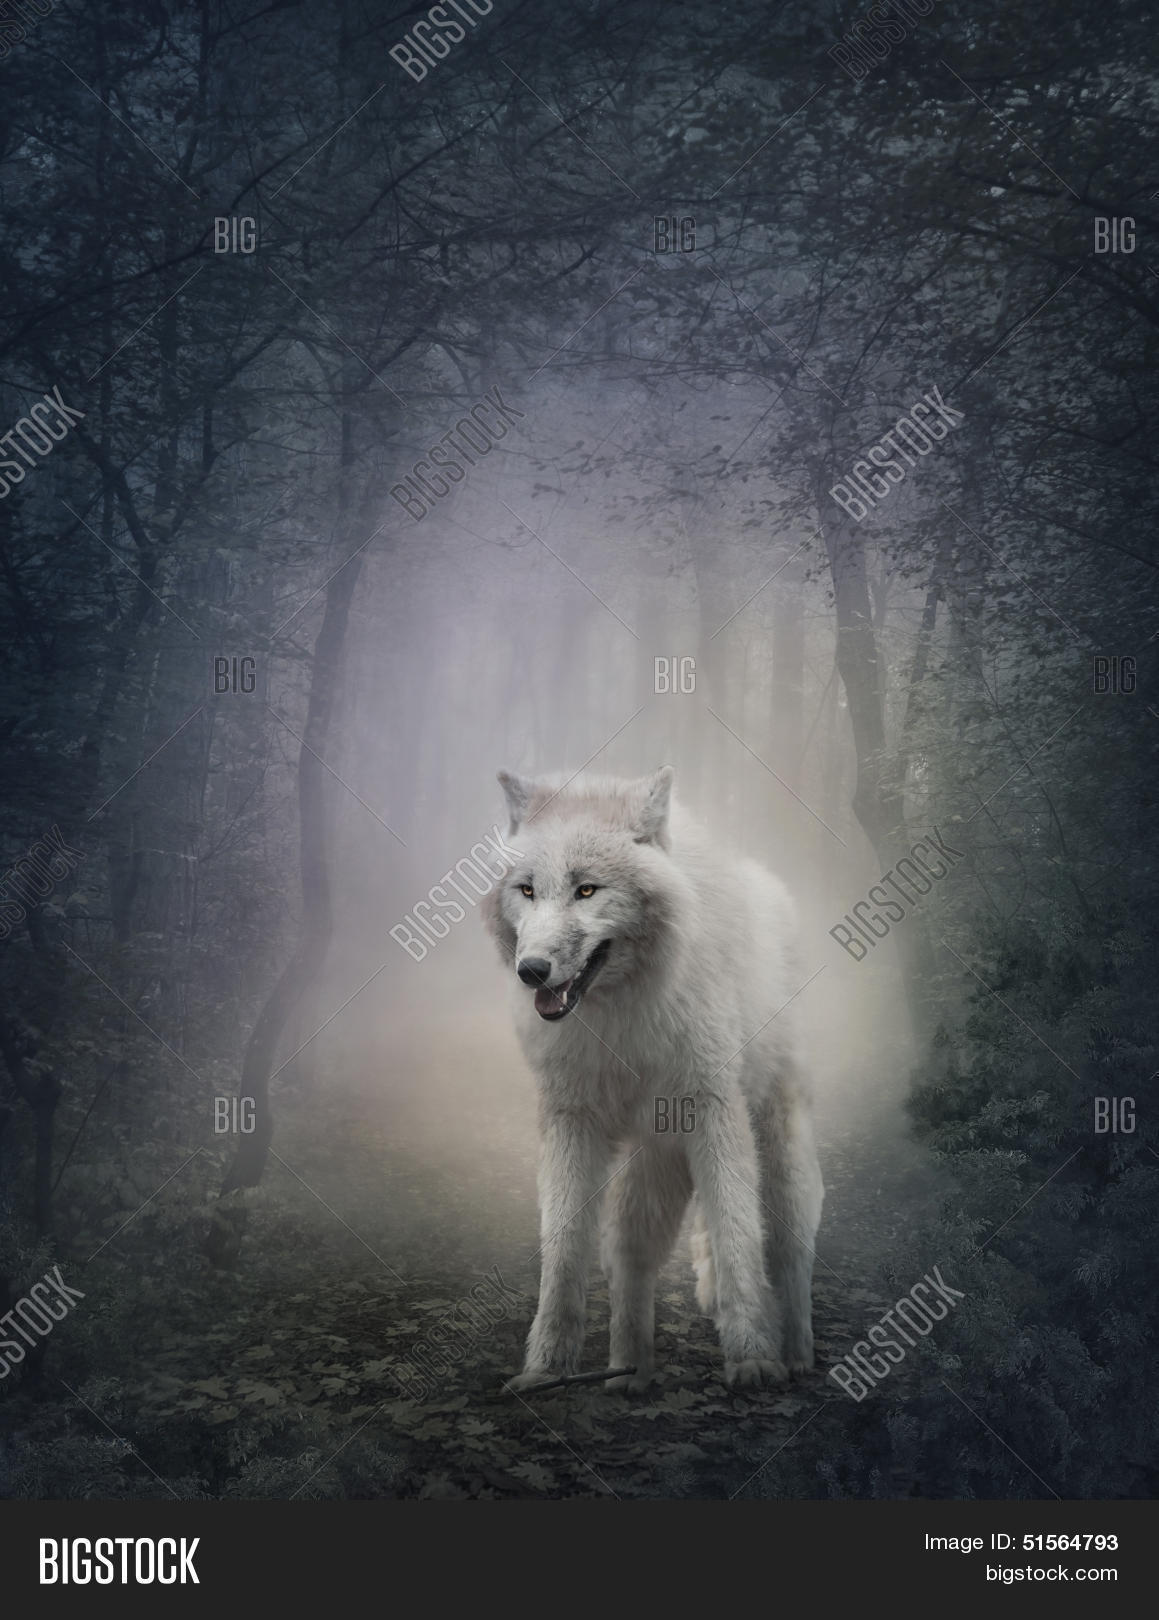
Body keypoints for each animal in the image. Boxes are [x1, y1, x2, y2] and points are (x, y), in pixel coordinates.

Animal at [484, 765, 823, 1393]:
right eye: (527, 890)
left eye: (586, 890)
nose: (532, 971)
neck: (618, 1017)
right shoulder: (570, 1120)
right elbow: (563, 1251)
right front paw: (545, 1370)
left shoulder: (713, 1110)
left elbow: (737, 1234)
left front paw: (754, 1359)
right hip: (653, 1159)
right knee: (629, 1252)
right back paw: (628, 1370)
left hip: (775, 1147)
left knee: (789, 1246)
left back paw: (795, 1353)